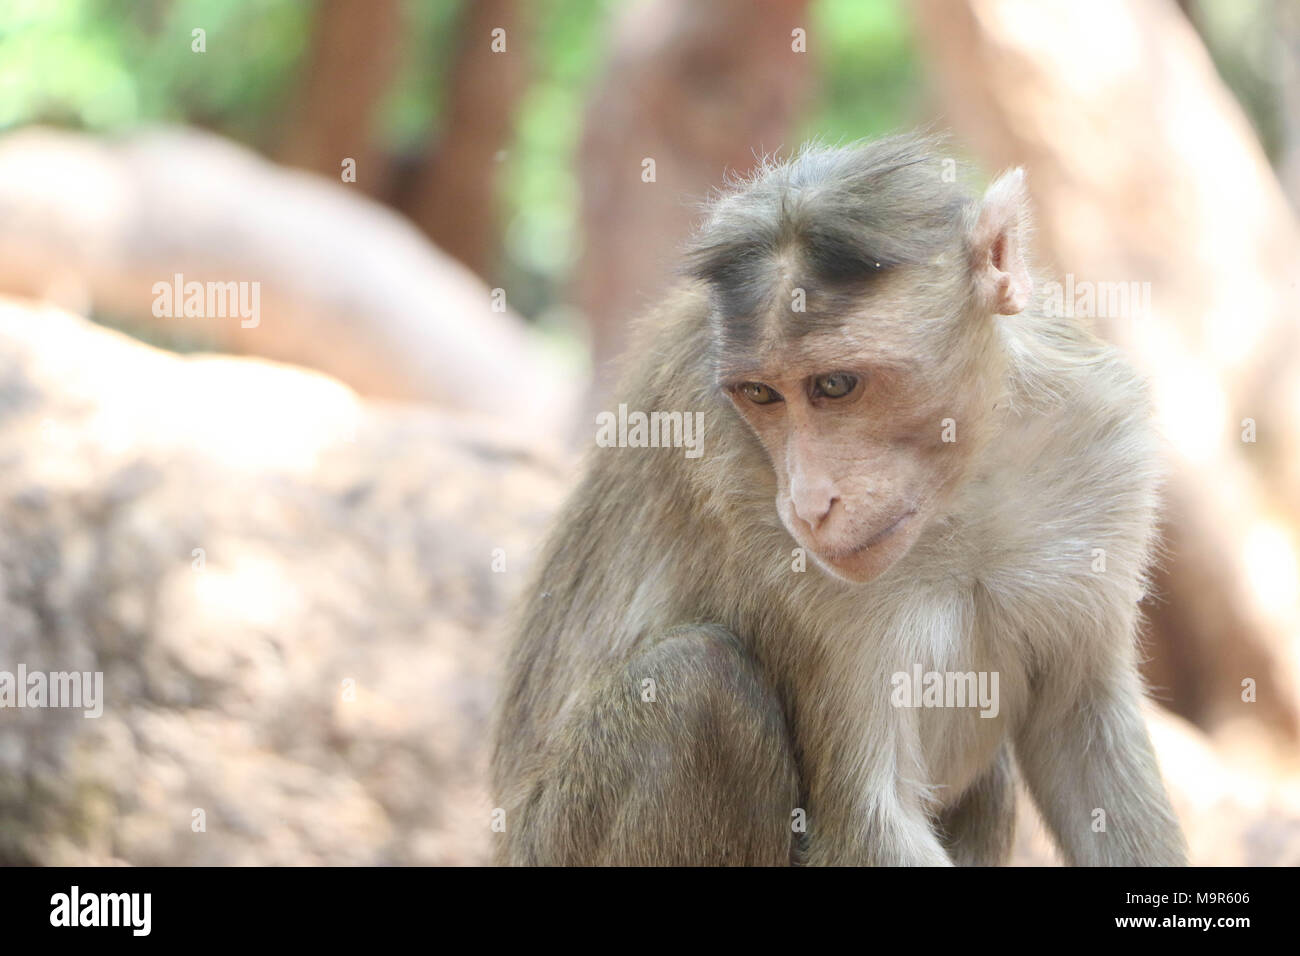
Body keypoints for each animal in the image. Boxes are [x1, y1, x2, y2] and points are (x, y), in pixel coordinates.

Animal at [490, 133, 1187, 866]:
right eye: (761, 394)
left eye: (835, 385)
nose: (807, 503)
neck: (958, 491)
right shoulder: (751, 505)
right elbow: (867, 821)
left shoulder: (1102, 443)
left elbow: (1083, 730)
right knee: (696, 686)